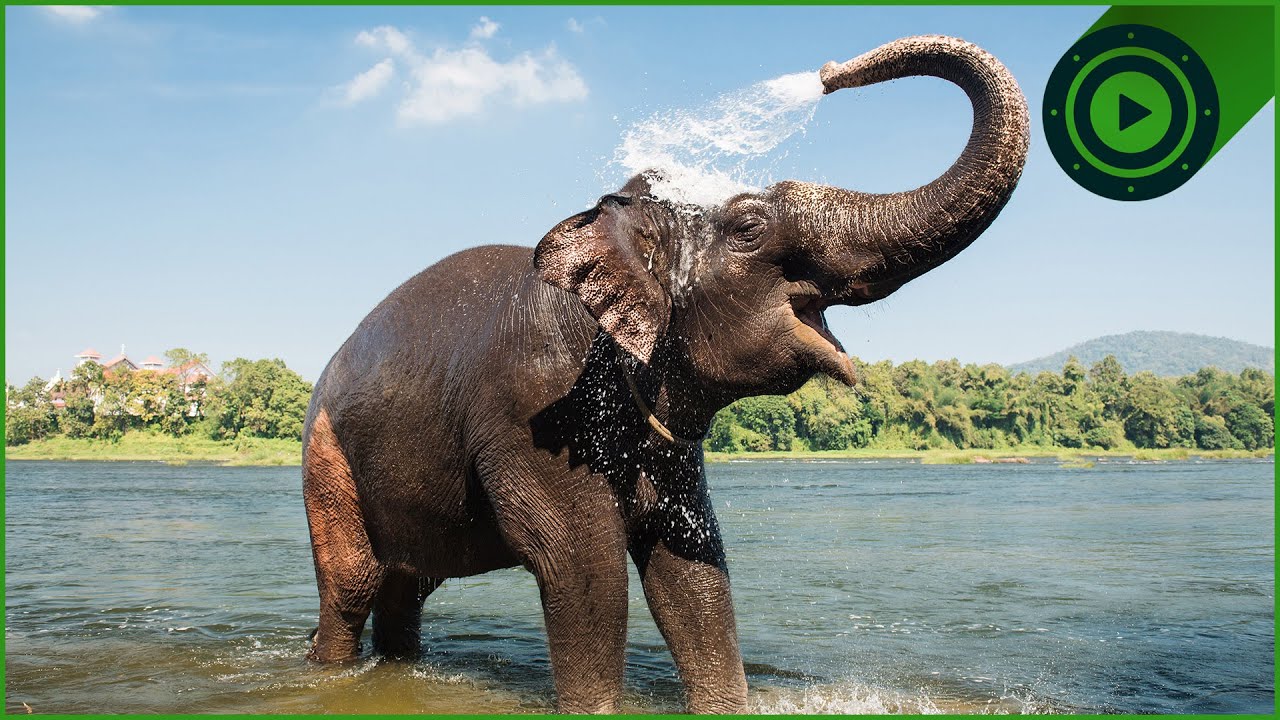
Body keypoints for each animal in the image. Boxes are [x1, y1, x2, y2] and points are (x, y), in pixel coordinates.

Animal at [302, 35, 1029, 713]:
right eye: (749, 226)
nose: (828, 72)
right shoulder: (534, 408)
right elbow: (584, 569)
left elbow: (690, 568)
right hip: (325, 458)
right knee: (353, 586)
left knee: (408, 586)